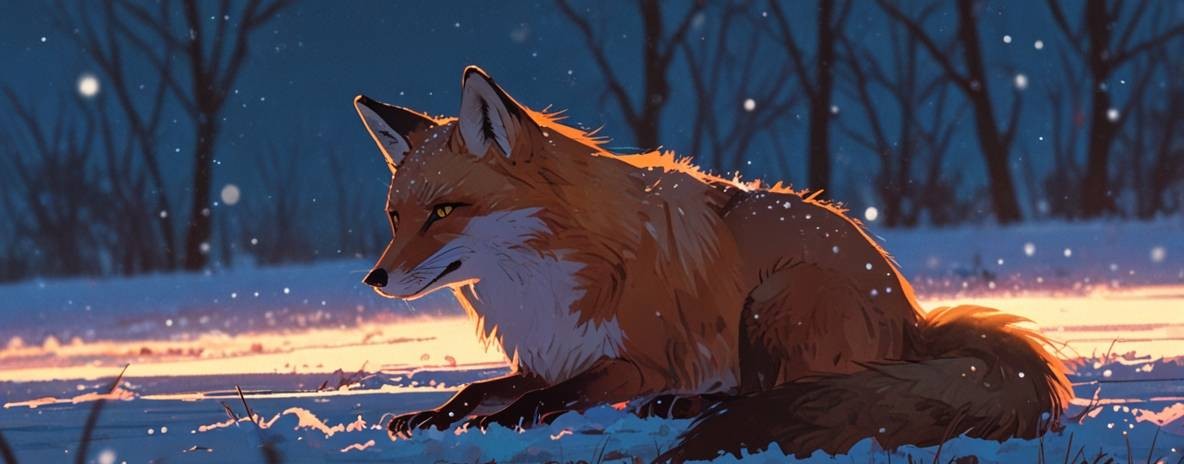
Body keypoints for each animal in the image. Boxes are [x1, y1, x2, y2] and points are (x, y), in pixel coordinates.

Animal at [352, 66, 1072, 462]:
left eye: (444, 212)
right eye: (395, 217)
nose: (374, 279)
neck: (545, 276)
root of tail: (911, 314)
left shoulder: (633, 361)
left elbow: (546, 400)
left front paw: (500, 424)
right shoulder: (550, 351)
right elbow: (476, 390)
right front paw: (431, 418)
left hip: (775, 299)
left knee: (772, 389)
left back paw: (686, 405)